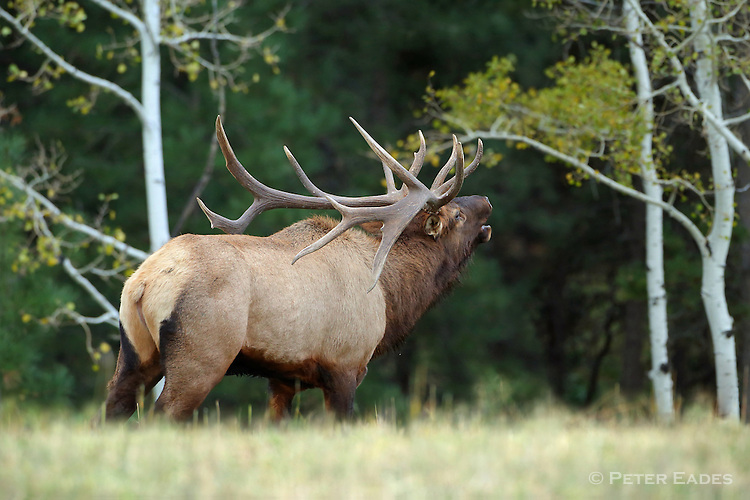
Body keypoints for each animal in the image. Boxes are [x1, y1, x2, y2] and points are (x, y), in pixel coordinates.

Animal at [103, 116, 492, 421]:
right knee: (163, 415)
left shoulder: (283, 379)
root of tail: (143, 283)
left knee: (112, 409)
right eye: (457, 214)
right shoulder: (345, 364)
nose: (485, 200)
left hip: (134, 352)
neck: (391, 296)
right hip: (201, 353)